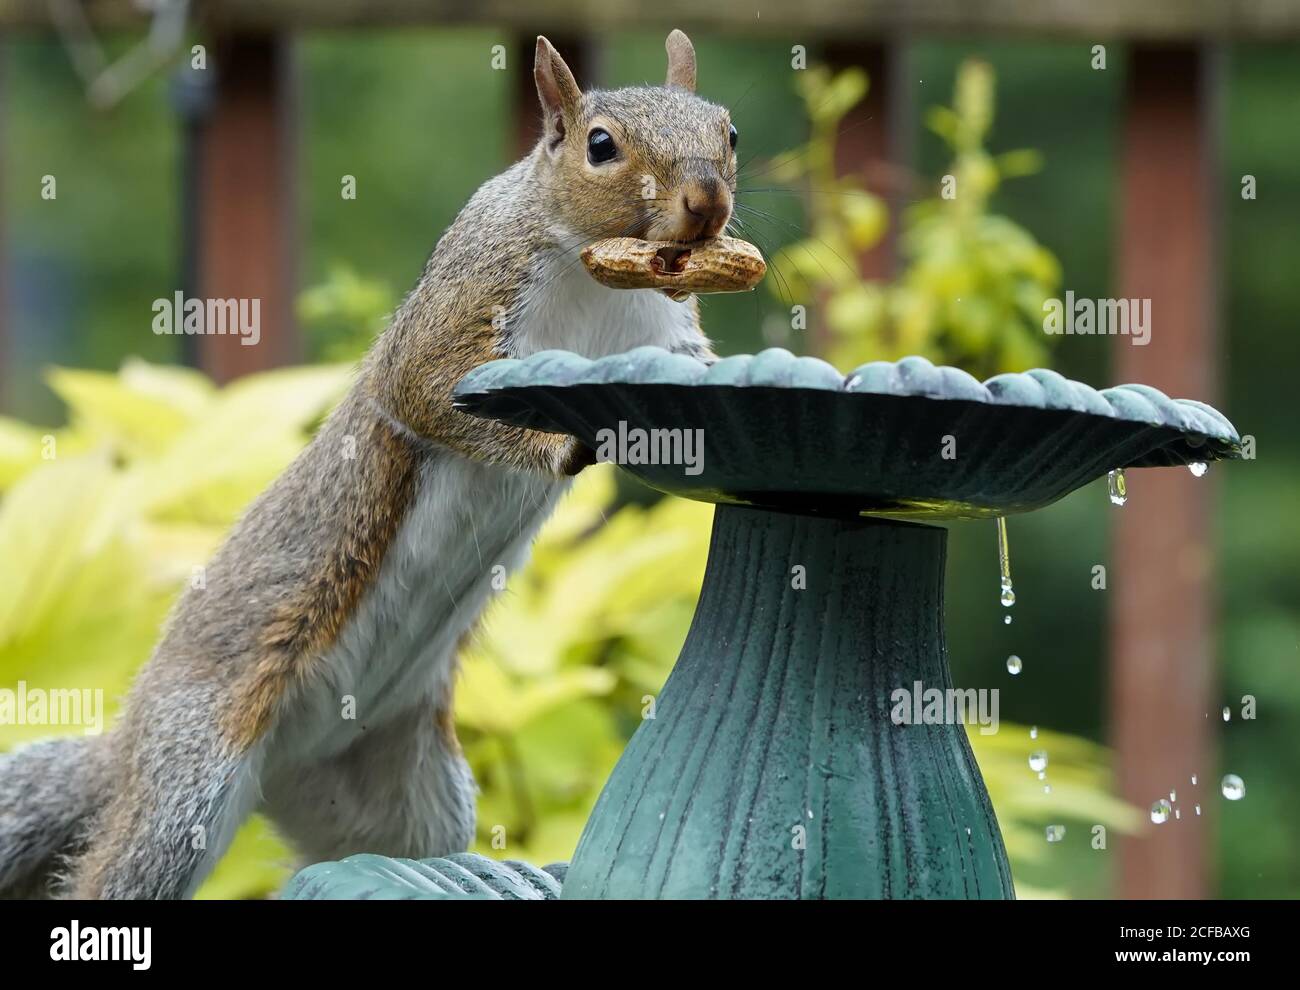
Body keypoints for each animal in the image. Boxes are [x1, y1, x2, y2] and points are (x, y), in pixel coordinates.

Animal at [0, 30, 734, 899]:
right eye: (600, 146)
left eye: (728, 132)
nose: (707, 204)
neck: (597, 276)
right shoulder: (470, 292)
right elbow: (423, 391)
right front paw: (562, 445)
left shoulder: (664, 336)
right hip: (189, 777)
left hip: (404, 798)